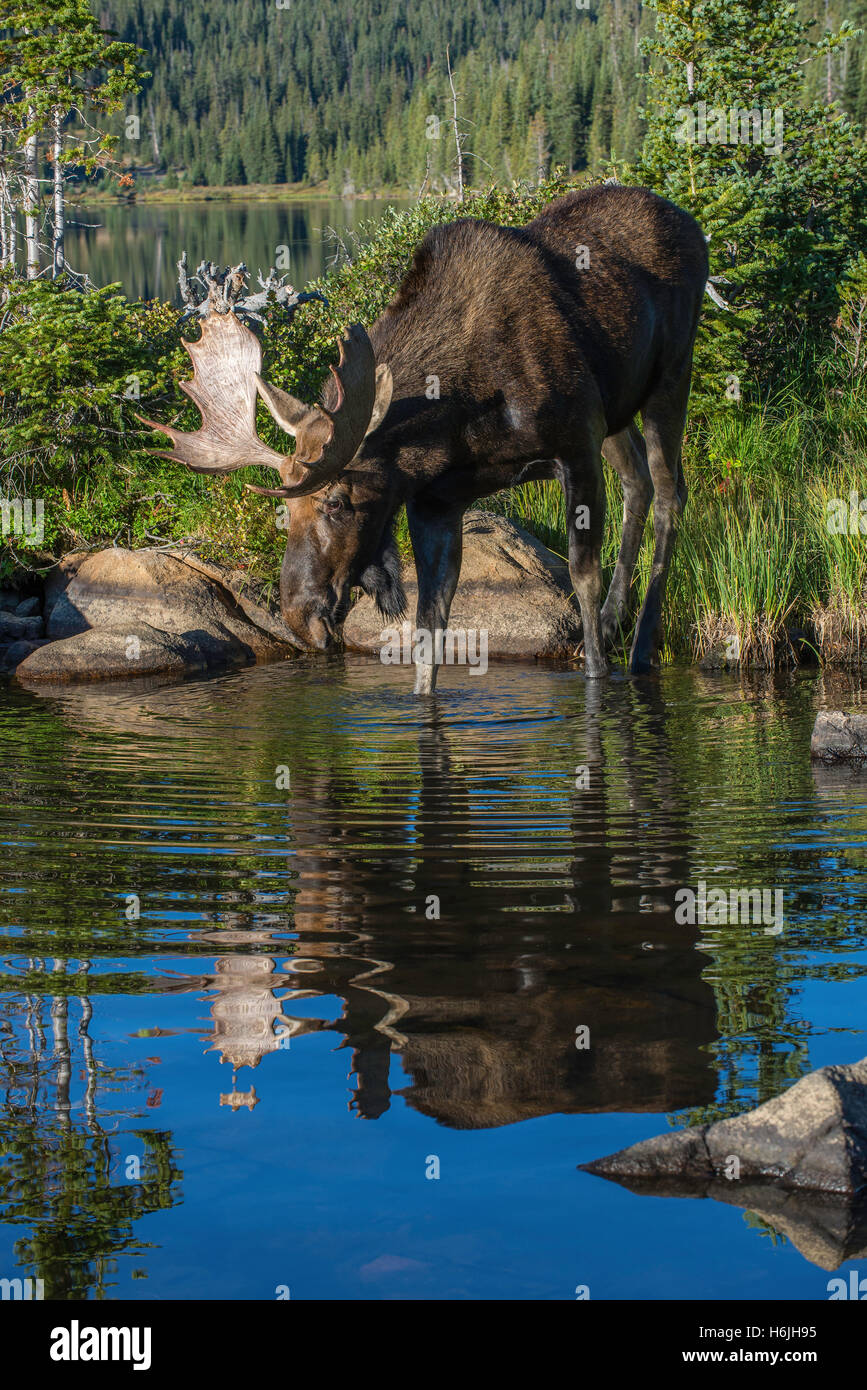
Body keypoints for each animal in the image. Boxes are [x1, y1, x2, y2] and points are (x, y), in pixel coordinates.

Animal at [142, 185, 708, 693]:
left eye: (338, 502)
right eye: (286, 510)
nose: (300, 617)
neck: (462, 416)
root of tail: (691, 223)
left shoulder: (575, 446)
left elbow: (582, 578)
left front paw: (596, 674)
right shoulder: (436, 500)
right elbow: (429, 622)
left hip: (670, 376)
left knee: (670, 491)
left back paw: (638, 647)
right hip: (616, 411)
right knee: (638, 481)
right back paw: (616, 624)